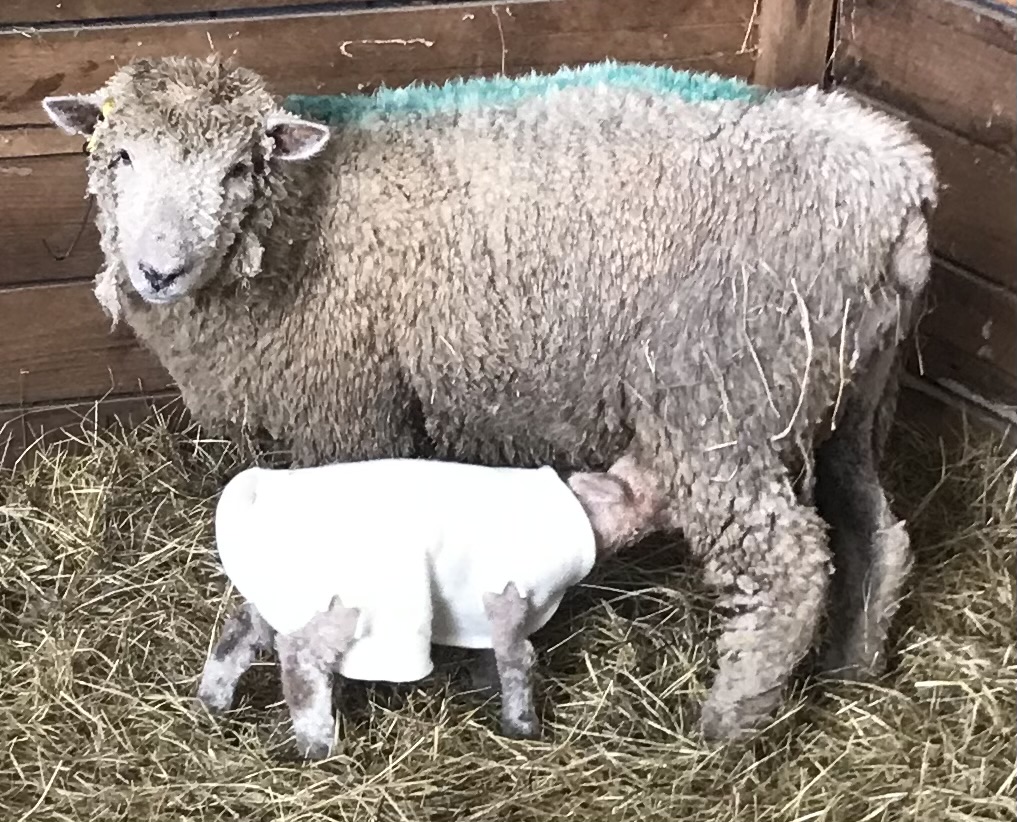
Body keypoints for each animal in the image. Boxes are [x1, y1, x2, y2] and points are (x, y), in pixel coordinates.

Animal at [196, 457, 666, 759]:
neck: (583, 520)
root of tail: (259, 498)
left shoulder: (485, 602)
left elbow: (492, 652)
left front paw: (484, 686)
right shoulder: (510, 593)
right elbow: (518, 659)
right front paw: (521, 726)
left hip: (287, 592)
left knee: (242, 629)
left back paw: (213, 698)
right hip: (342, 603)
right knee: (301, 661)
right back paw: (318, 745)